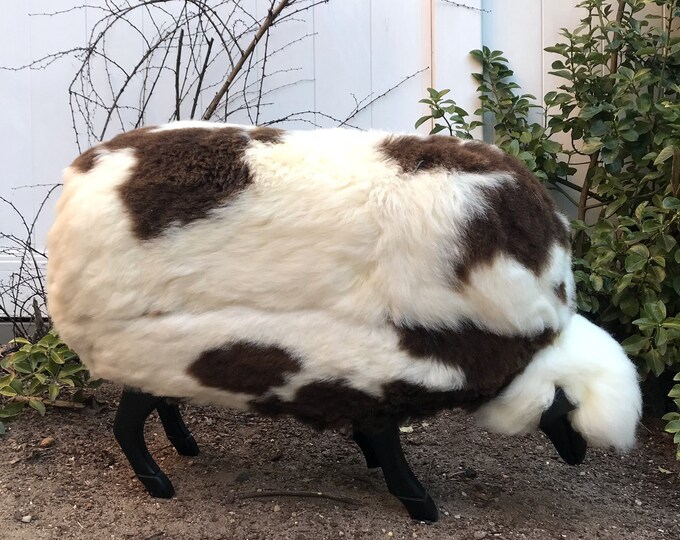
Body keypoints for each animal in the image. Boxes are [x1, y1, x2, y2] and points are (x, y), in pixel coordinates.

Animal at [47, 121, 642, 522]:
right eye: (568, 416)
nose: (579, 459)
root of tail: (79, 176)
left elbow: (372, 436)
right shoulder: (387, 375)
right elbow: (388, 444)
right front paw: (420, 505)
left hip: (170, 353)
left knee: (161, 403)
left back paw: (186, 445)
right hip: (143, 346)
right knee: (127, 425)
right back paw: (159, 484)